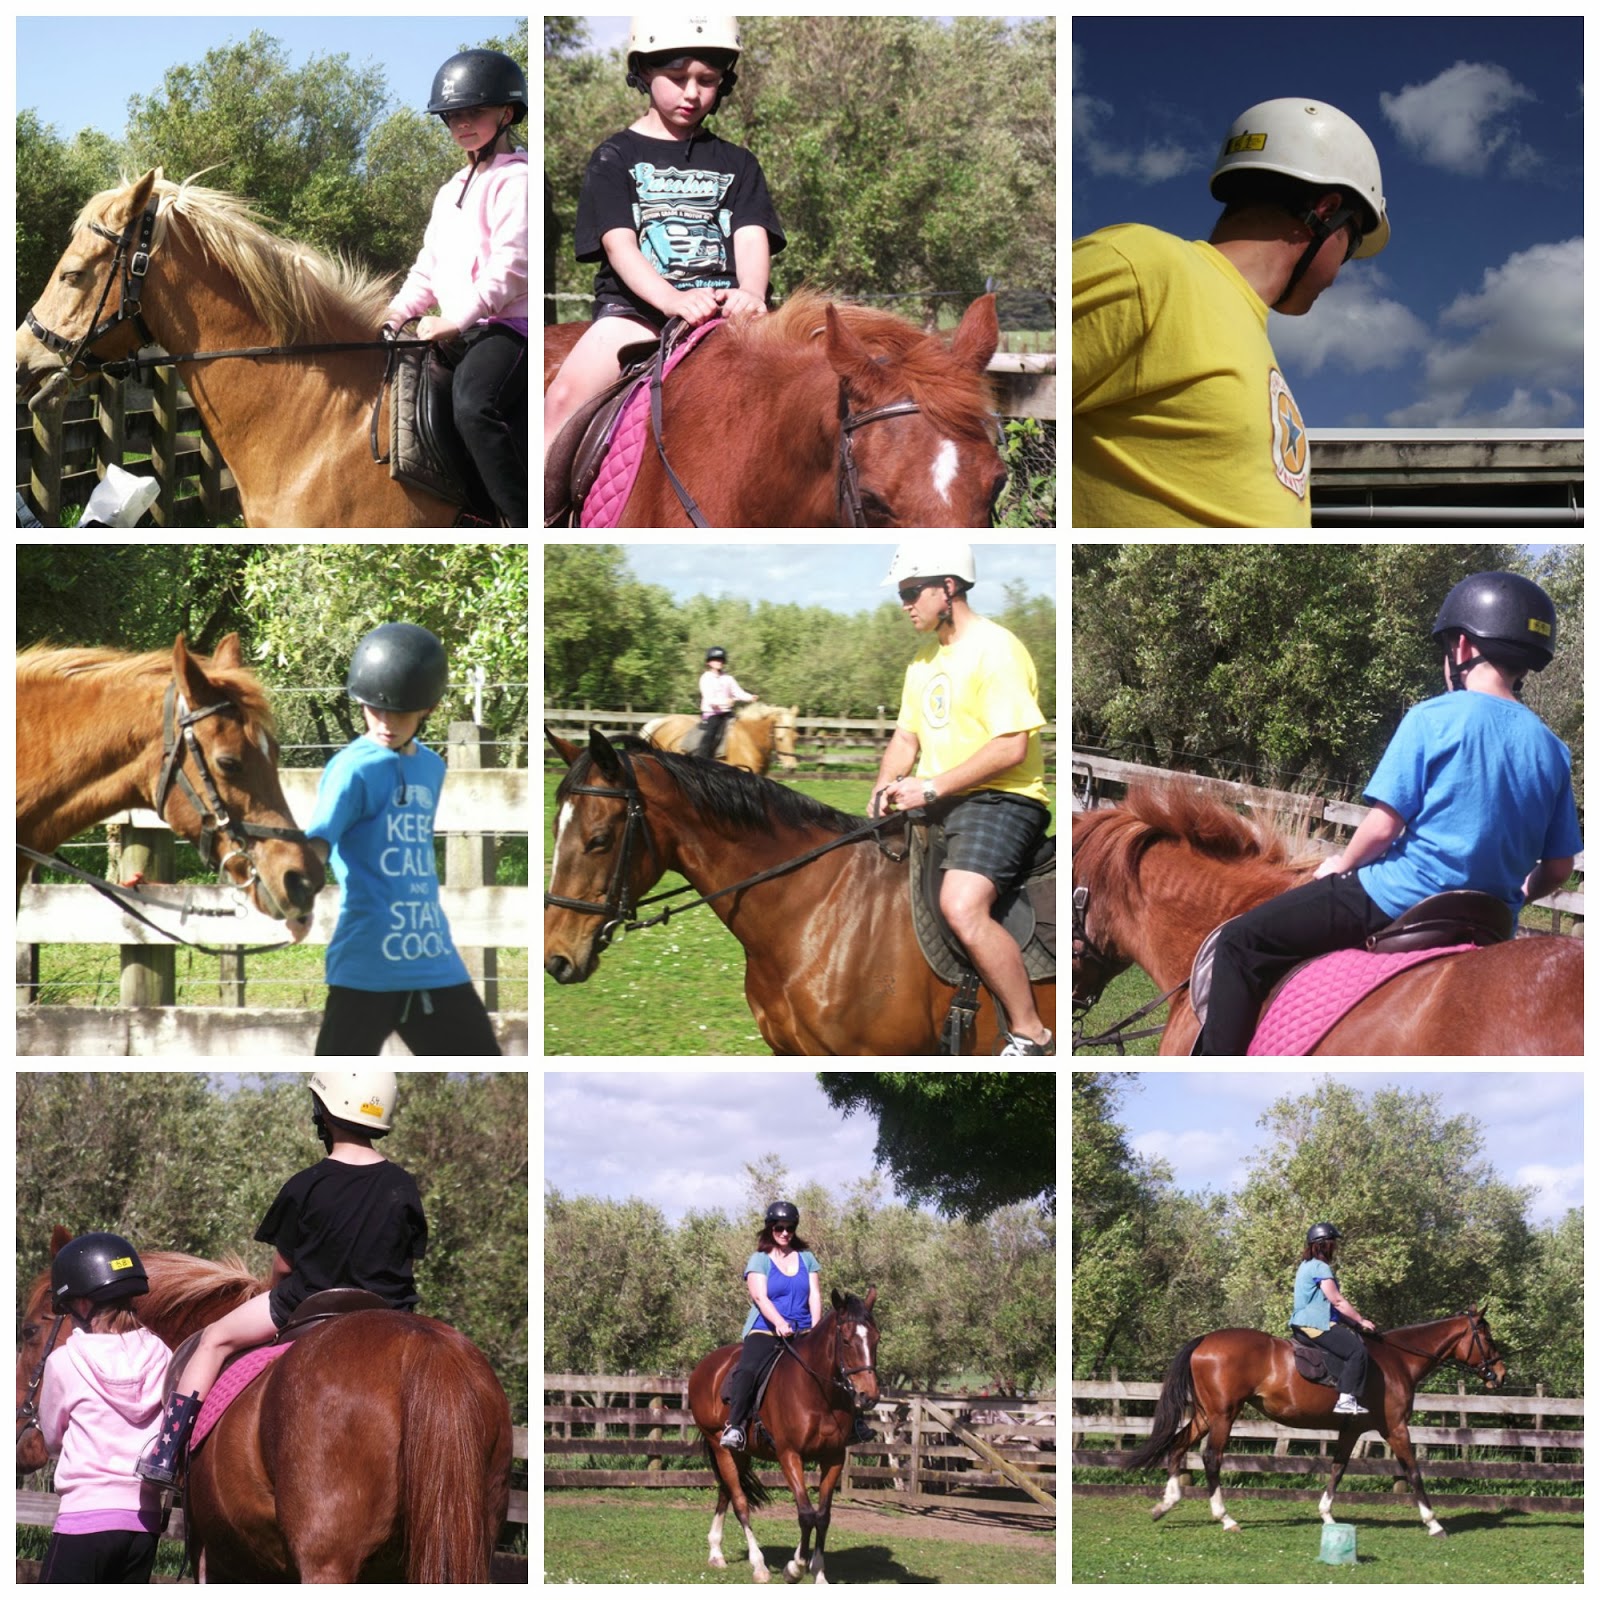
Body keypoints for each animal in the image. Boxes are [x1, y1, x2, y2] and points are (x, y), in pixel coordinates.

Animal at [687, 1288, 879, 1584]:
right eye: (846, 1341)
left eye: (876, 1339)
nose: (868, 1396)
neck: (817, 1392)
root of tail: (706, 1366)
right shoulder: (789, 1455)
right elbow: (805, 1514)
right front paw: (795, 1567)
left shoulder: (833, 1458)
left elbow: (822, 1516)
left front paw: (818, 1573)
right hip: (719, 1444)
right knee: (740, 1502)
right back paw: (758, 1565)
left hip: (739, 1453)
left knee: (726, 1493)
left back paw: (716, 1552)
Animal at [1126, 1306, 1507, 1537]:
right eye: (1487, 1337)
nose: (1500, 1374)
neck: (1397, 1359)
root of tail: (1205, 1340)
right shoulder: (1395, 1428)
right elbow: (1413, 1471)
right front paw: (1434, 1523)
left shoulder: (1352, 1430)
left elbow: (1337, 1468)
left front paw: (1326, 1515)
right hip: (1222, 1415)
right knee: (1211, 1458)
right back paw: (1225, 1518)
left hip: (1206, 1415)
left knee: (1178, 1446)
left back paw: (1165, 1504)